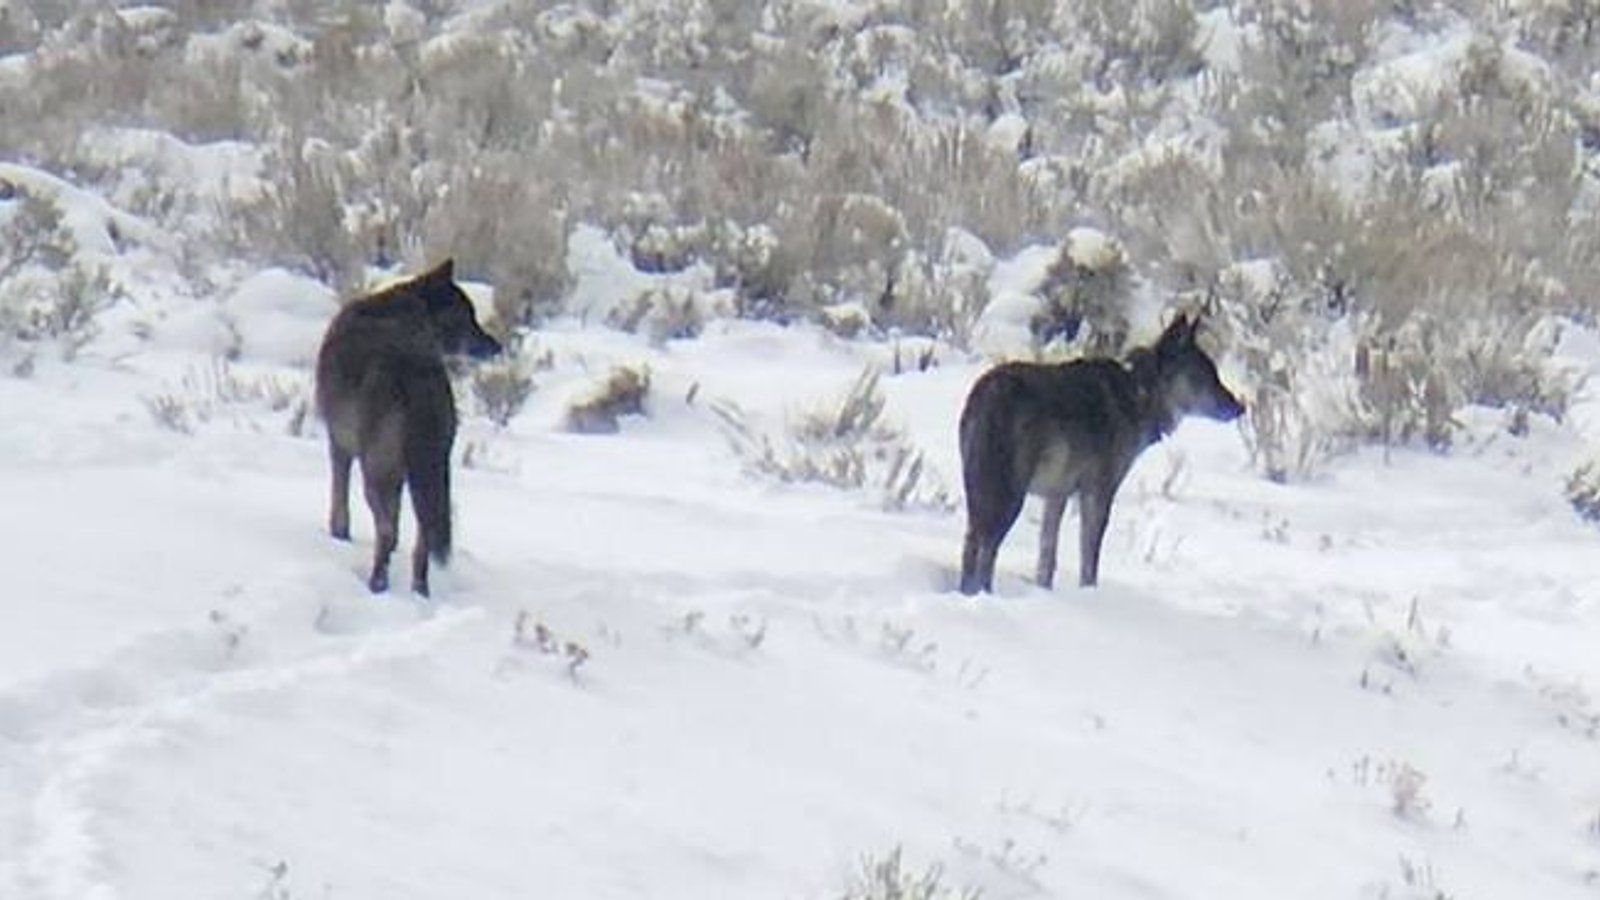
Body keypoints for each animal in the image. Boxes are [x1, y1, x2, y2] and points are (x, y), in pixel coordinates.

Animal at [314, 259, 501, 597]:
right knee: (424, 537)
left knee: (388, 530)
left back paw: (377, 585)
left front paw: (339, 539)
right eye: (467, 315)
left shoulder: (339, 445)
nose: (496, 347)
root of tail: (419, 375)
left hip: (376, 471)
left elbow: (340, 508)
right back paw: (420, 592)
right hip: (431, 471)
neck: (406, 312)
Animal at [957, 314, 1244, 595]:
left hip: (979, 494)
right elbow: (1089, 559)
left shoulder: (1057, 496)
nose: (1240, 407)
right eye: (1207, 375)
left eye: (1214, 373)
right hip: (1009, 497)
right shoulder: (1098, 494)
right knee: (987, 550)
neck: (1139, 392)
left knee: (971, 546)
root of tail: (988, 391)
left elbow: (1047, 558)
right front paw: (1089, 594)